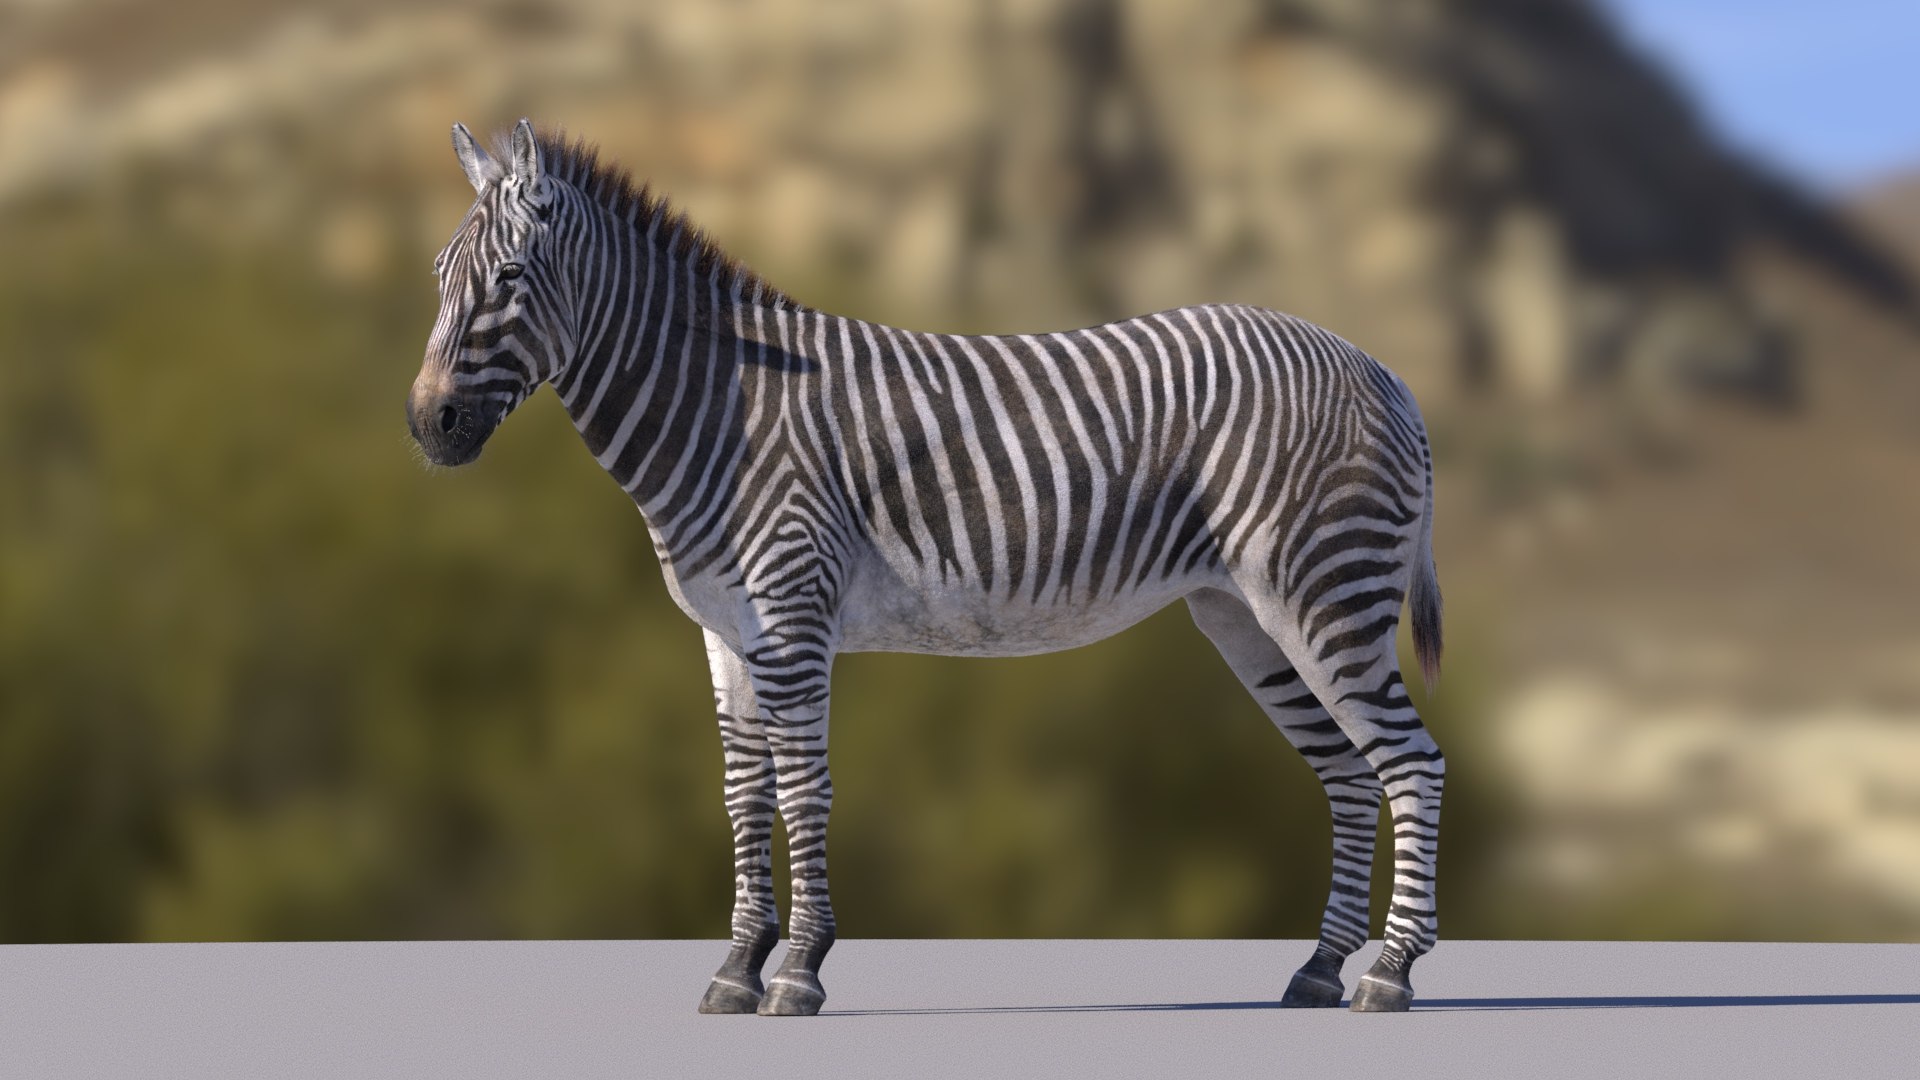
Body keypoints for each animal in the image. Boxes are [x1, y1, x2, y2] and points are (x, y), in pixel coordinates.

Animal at [409, 120, 1446, 1015]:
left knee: (1412, 762)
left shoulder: (792, 617)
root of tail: (1379, 368)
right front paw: (737, 969)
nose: (429, 427)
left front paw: (798, 970)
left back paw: (1390, 973)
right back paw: (1319, 970)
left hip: (1325, 592)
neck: (725, 411)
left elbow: (804, 788)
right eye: (438, 277)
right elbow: (744, 795)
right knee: (1352, 775)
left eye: (508, 278)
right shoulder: (724, 635)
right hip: (1248, 617)